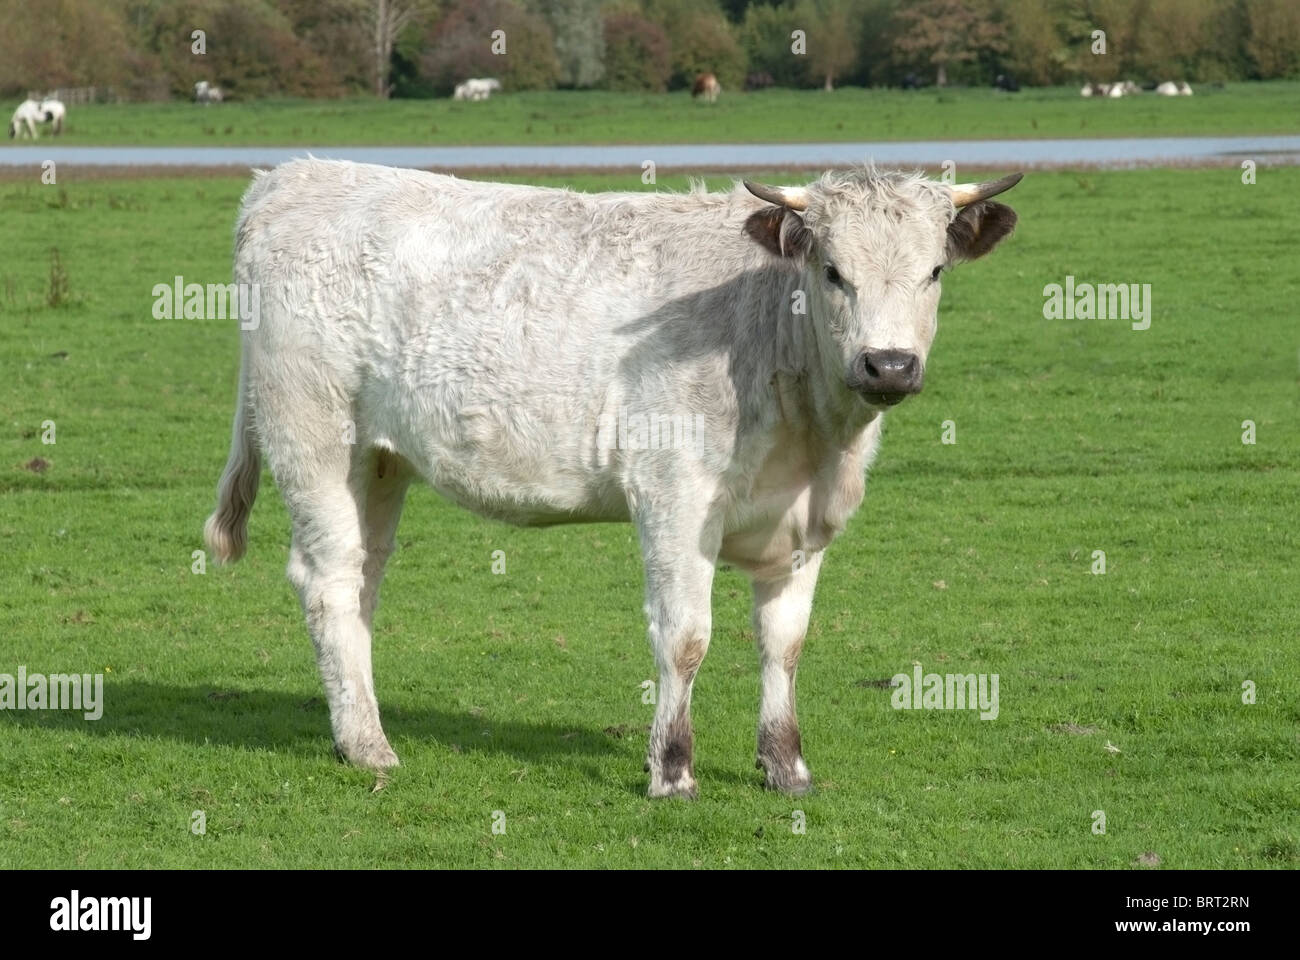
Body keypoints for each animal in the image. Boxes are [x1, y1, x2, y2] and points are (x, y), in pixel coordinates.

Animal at [204, 160, 1022, 798]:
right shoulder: (672, 496)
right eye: (832, 272)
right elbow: (685, 637)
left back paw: (360, 725)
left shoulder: (802, 524)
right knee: (328, 579)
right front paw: (673, 771)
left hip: (379, 462)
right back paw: (369, 747)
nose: (889, 365)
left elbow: (784, 643)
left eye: (934, 272)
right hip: (314, 440)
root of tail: (292, 175)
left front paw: (786, 767)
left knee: (363, 581)